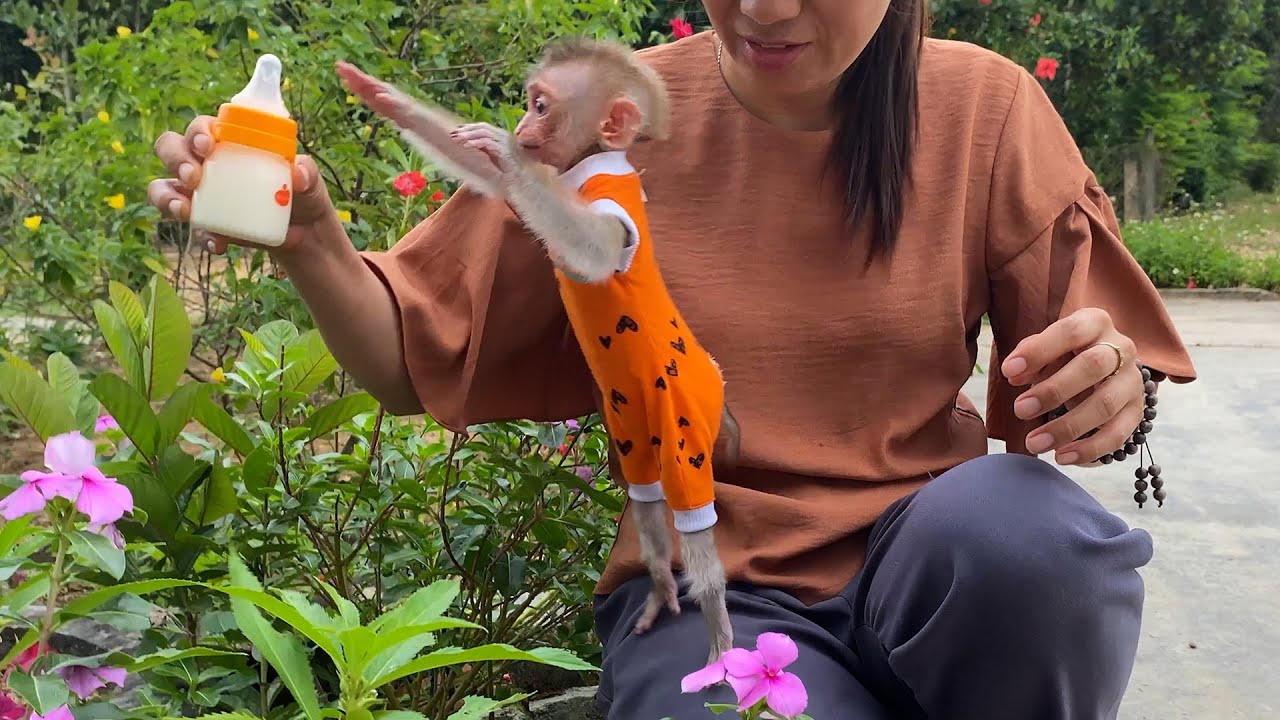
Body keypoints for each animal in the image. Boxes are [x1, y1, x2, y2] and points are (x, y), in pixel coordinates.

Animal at [336, 38, 741, 664]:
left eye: (542, 106)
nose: (524, 125)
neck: (586, 168)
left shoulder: (612, 203)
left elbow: (594, 249)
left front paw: (505, 153)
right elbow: (502, 186)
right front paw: (384, 97)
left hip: (686, 416)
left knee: (690, 505)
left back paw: (720, 636)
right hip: (633, 422)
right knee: (647, 493)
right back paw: (656, 582)